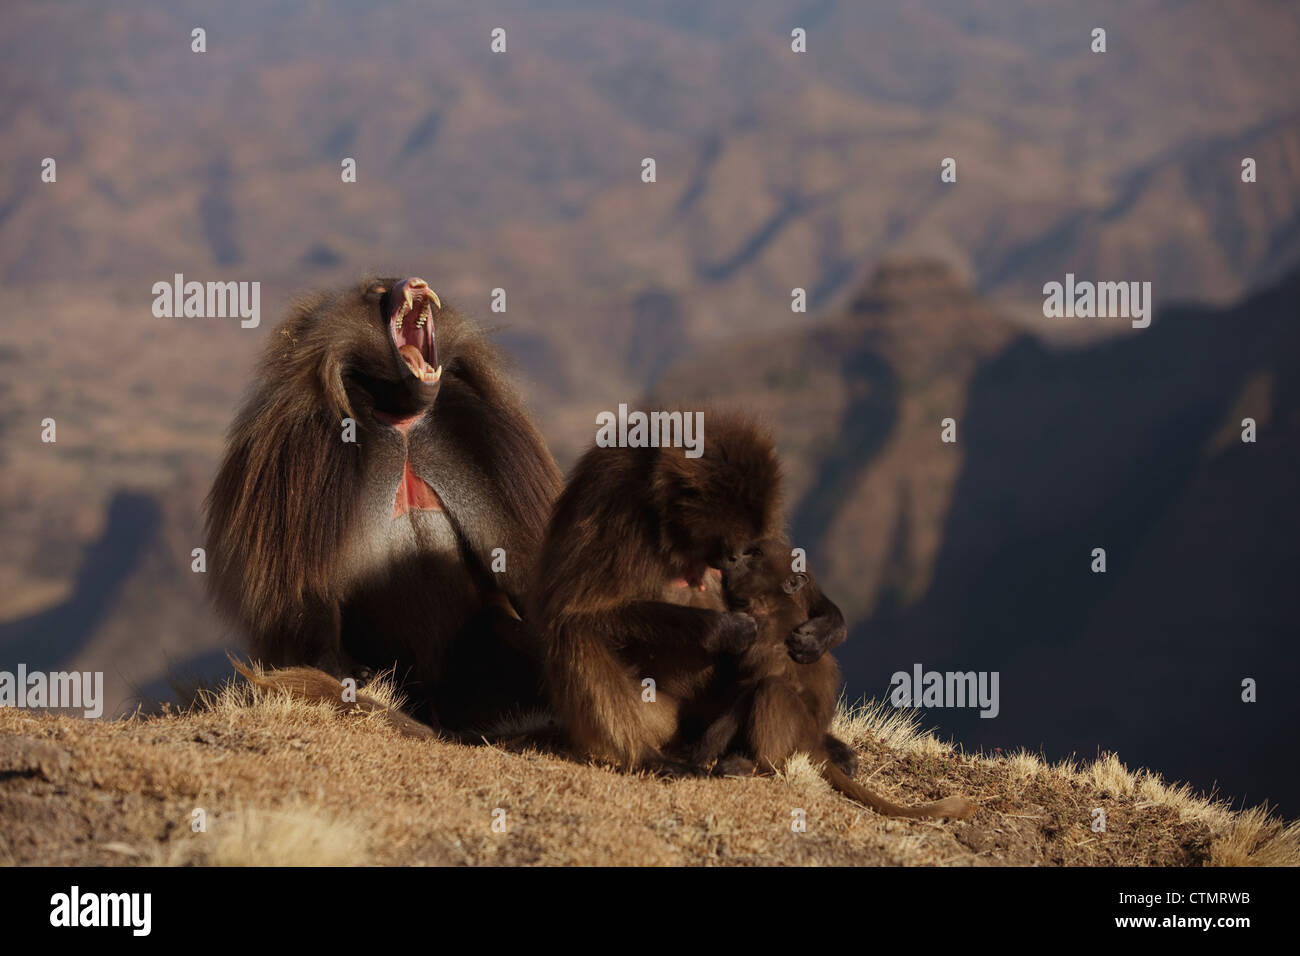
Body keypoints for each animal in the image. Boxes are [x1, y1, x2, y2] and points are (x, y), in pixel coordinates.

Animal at [205, 277, 562, 733]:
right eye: (377, 290)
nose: (415, 282)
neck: (402, 423)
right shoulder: (302, 444)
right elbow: (304, 588)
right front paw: (342, 676)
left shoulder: (491, 435)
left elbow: (524, 575)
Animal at [530, 410, 847, 773]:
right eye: (722, 541)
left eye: (745, 546)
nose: (731, 558)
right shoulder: (613, 504)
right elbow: (577, 607)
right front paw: (724, 629)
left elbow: (790, 570)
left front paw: (824, 630)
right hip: (663, 718)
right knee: (576, 631)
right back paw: (648, 756)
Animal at [693, 539, 975, 820]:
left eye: (756, 554)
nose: (731, 558)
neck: (769, 602)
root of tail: (814, 743)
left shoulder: (769, 637)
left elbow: (748, 690)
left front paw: (705, 750)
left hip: (798, 732)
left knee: (772, 689)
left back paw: (759, 766)